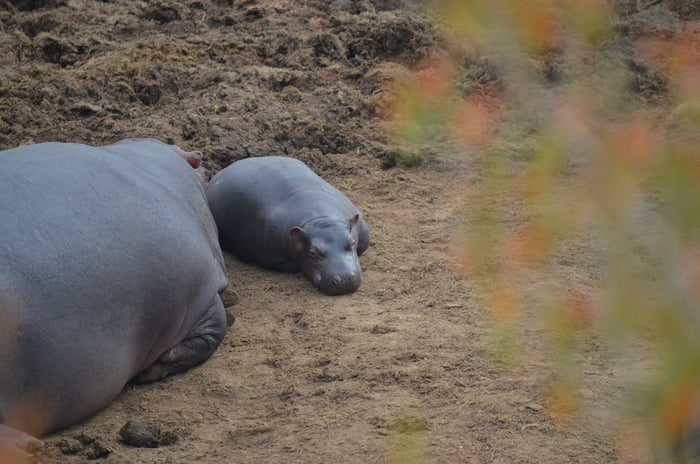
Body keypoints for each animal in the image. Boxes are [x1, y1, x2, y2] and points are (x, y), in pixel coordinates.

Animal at [0, 139, 229, 459]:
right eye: (197, 164)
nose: (200, 156)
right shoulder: (201, 290)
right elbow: (214, 331)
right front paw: (157, 367)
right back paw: (27, 447)